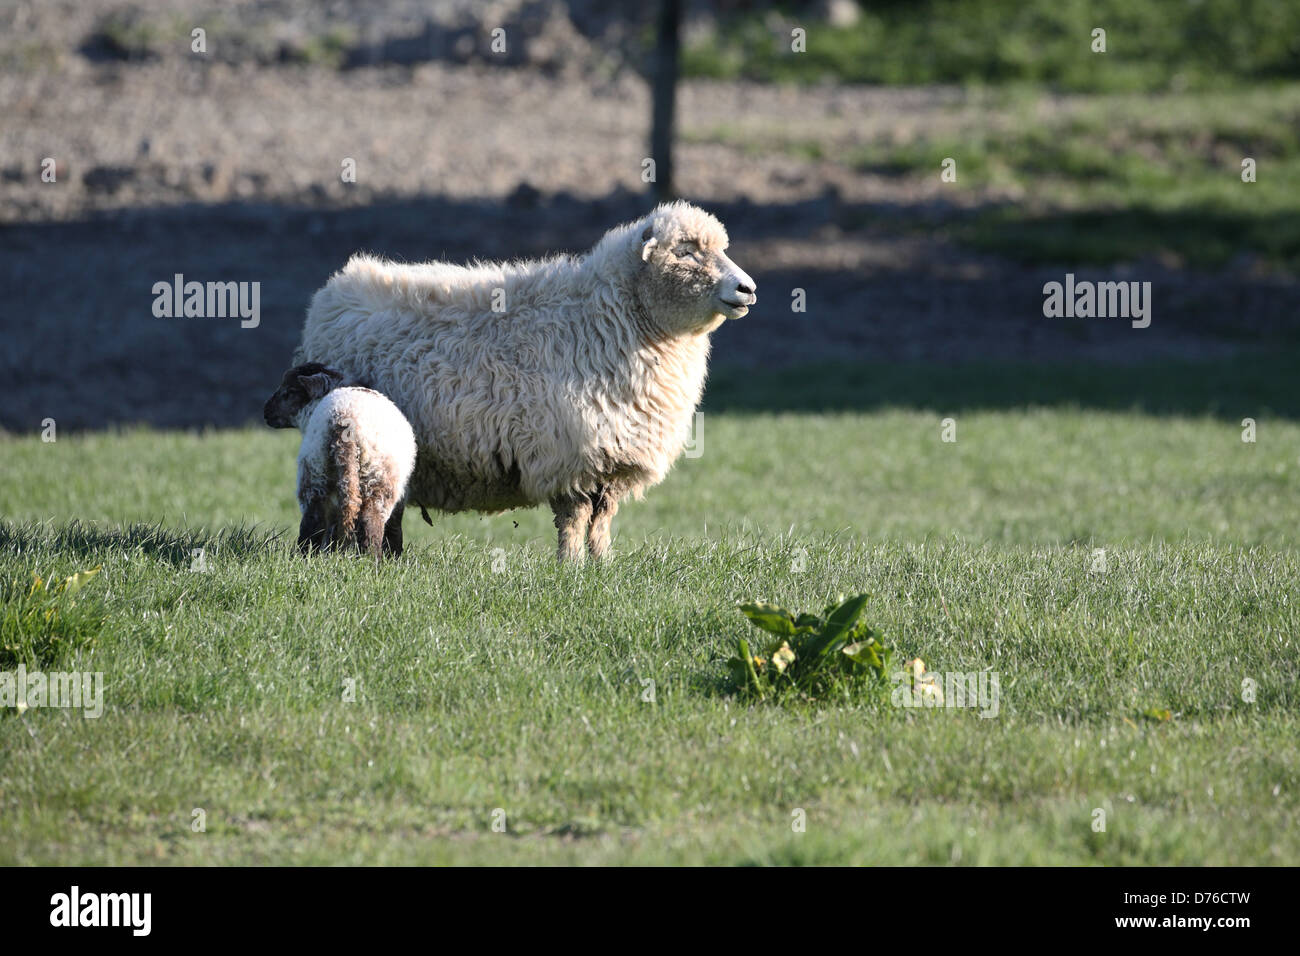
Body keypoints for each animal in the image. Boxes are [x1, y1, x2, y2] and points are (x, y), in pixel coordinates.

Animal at [263, 362, 417, 560]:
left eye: (289, 391)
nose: (266, 412)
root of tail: (343, 422)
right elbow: (394, 528)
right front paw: (395, 556)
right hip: (377, 479)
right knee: (371, 522)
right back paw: (372, 562)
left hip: (315, 471)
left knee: (312, 522)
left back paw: (306, 558)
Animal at [294, 201, 756, 562]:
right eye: (686, 251)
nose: (747, 289)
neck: (610, 317)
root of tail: (336, 289)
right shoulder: (570, 457)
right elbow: (574, 519)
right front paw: (571, 568)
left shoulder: (609, 460)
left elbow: (602, 522)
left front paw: (603, 566)